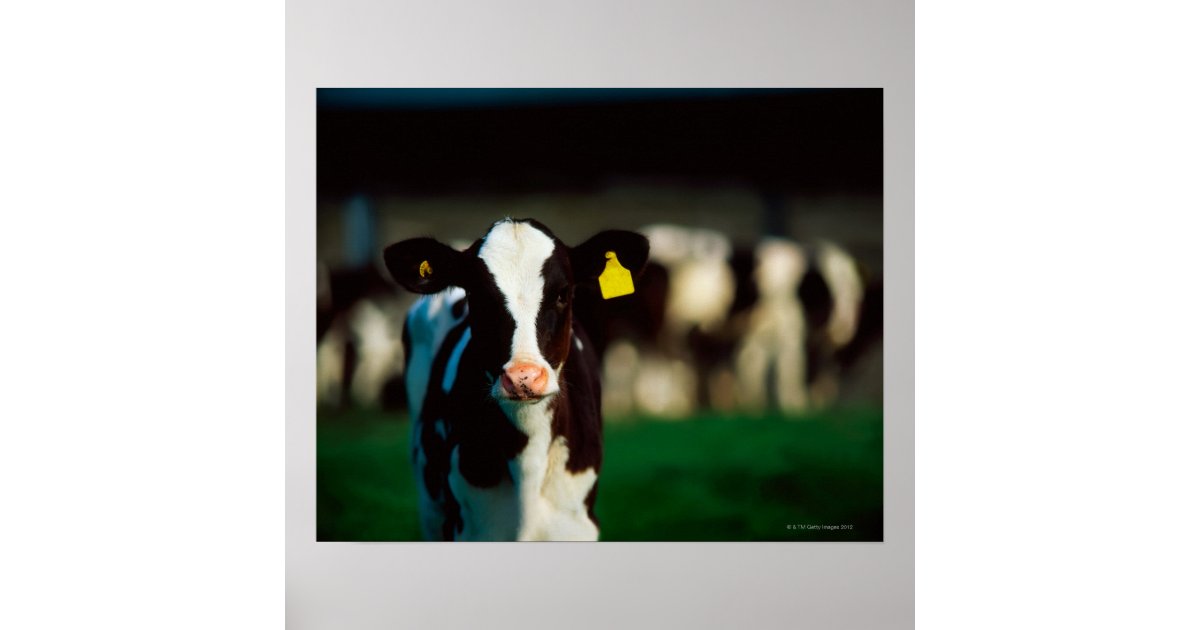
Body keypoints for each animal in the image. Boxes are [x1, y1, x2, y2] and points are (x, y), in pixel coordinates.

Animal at [383, 218, 649, 541]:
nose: (524, 376)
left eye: (562, 294)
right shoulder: (466, 527)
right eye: (478, 297)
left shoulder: (576, 525)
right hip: (430, 505)